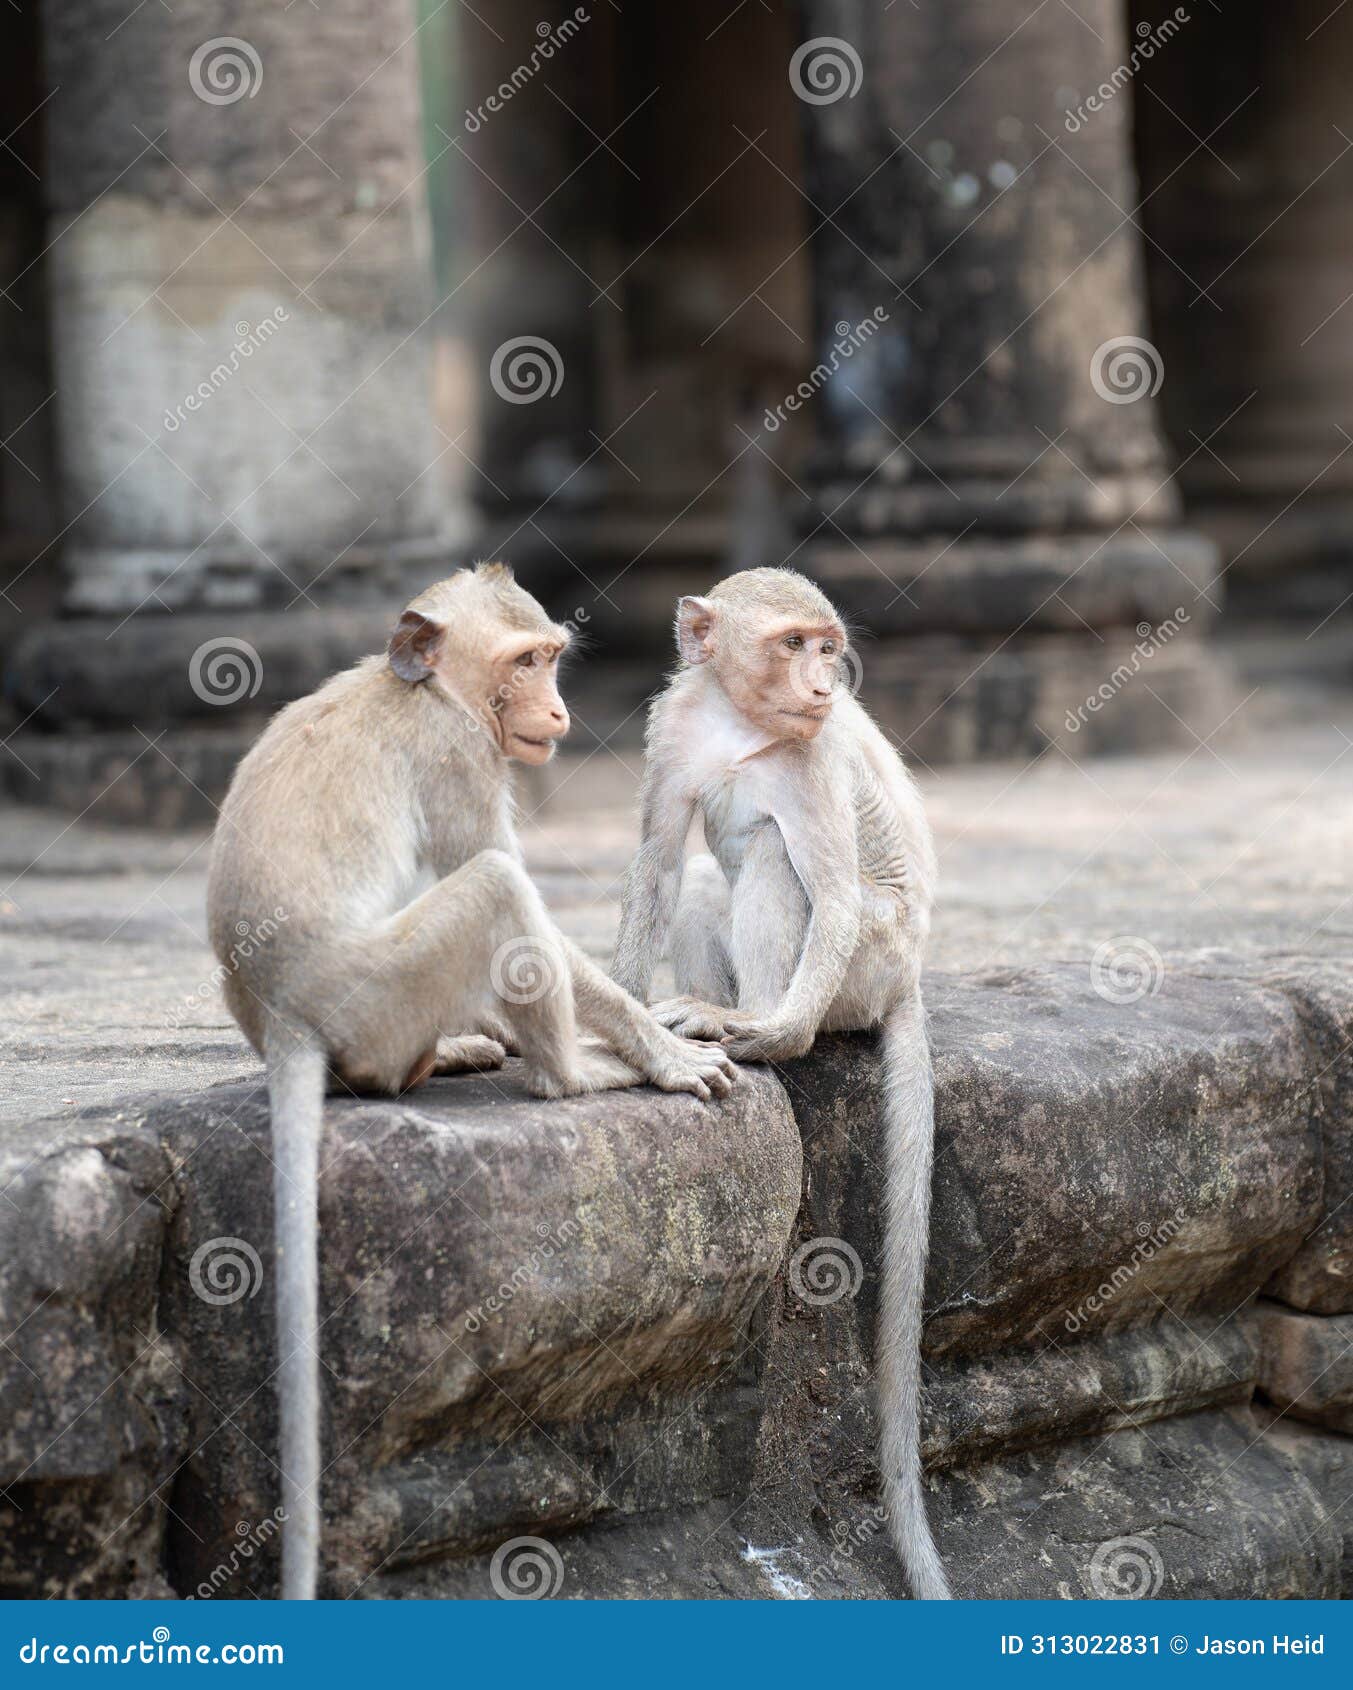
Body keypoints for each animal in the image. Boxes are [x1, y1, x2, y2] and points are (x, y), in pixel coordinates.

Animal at [206, 563, 737, 1600]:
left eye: (550, 657)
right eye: (524, 663)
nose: (558, 708)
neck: (425, 690)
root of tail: (284, 1013)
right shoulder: (455, 756)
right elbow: (501, 878)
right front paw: (659, 1051)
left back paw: (444, 1056)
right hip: (381, 988)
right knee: (493, 887)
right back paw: (574, 1073)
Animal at [611, 566, 951, 1600]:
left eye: (825, 646)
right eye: (792, 643)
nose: (821, 683)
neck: (739, 721)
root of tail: (909, 975)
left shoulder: (811, 759)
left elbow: (827, 891)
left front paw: (771, 1034)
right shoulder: (674, 726)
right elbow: (655, 869)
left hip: (866, 967)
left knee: (776, 861)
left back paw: (757, 1029)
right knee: (701, 880)